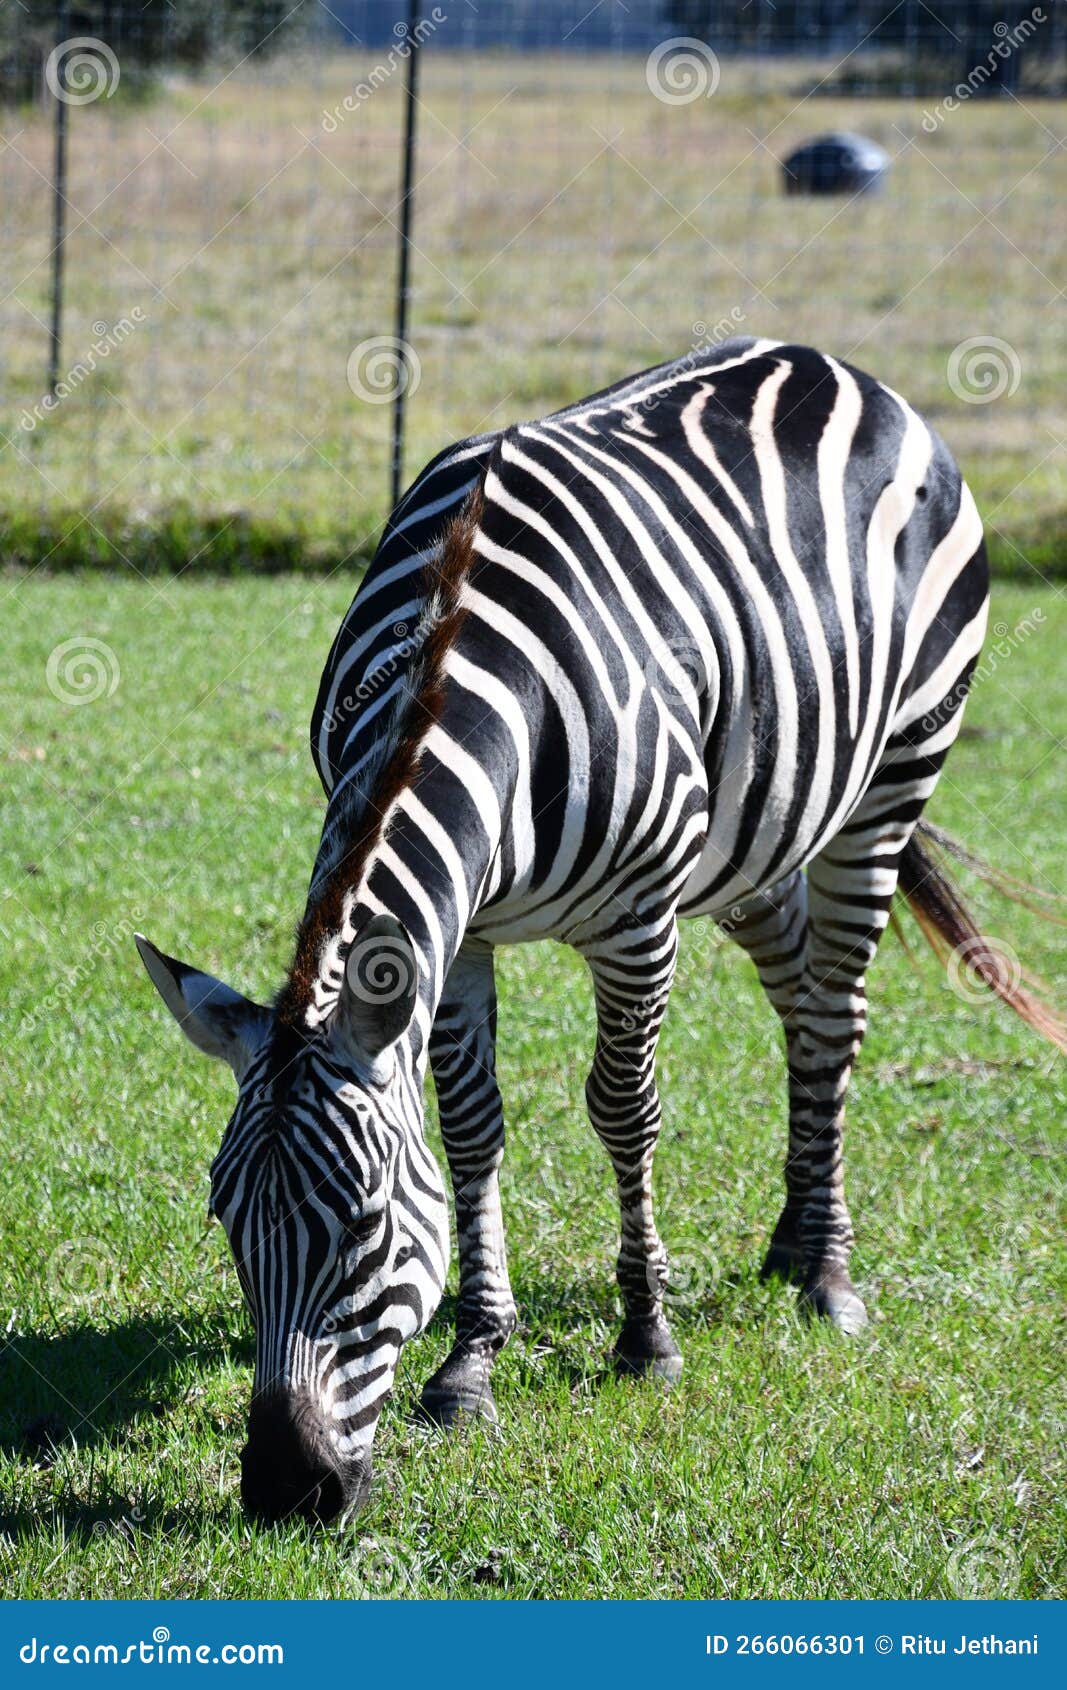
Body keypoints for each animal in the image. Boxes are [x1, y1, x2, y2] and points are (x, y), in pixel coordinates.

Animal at [136, 338, 1063, 1525]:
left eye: (366, 1226)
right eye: (224, 1222)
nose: (285, 1493)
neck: (454, 659)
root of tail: (833, 364)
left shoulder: (635, 920)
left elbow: (622, 1111)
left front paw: (644, 1335)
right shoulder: (461, 934)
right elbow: (471, 1126)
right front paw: (471, 1360)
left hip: (892, 775)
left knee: (835, 1016)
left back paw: (826, 1273)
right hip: (755, 837)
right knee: (799, 998)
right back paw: (787, 1235)